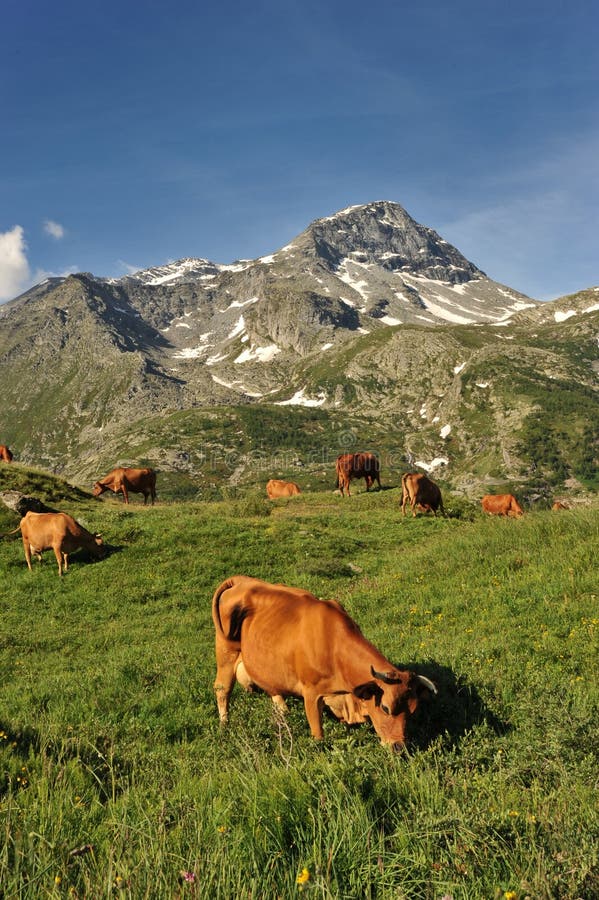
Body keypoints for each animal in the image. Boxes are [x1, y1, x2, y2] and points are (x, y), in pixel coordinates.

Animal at [213, 576, 438, 752]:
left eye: (413, 710)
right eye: (385, 707)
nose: (399, 747)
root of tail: (241, 581)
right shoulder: (311, 693)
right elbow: (318, 733)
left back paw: (284, 713)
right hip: (226, 652)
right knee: (222, 688)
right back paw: (224, 725)